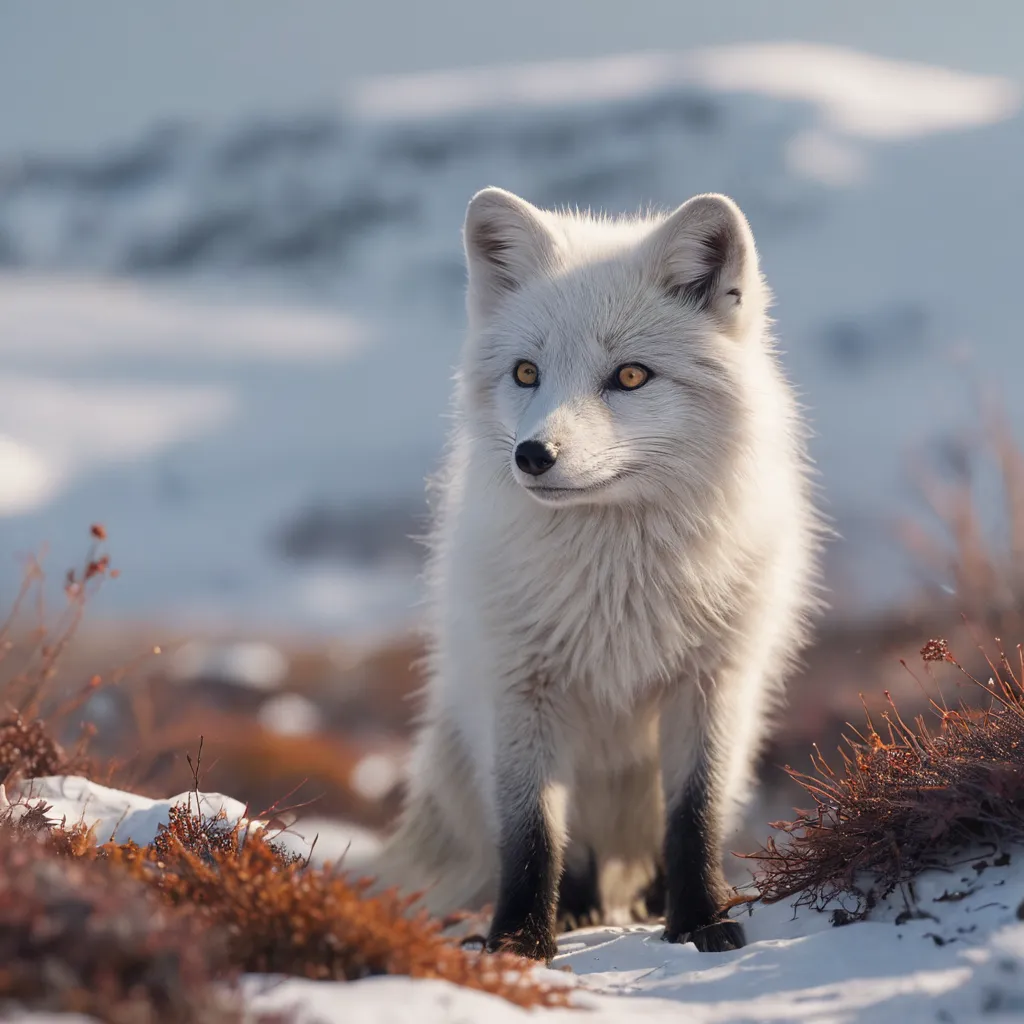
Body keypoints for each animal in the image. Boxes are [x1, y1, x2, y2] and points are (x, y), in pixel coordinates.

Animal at [370, 187, 822, 962]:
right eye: (526, 373)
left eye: (630, 376)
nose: (532, 455)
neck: (619, 590)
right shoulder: (523, 689)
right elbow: (532, 839)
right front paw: (518, 943)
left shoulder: (713, 686)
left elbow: (694, 818)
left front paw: (699, 921)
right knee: (574, 846)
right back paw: (578, 911)